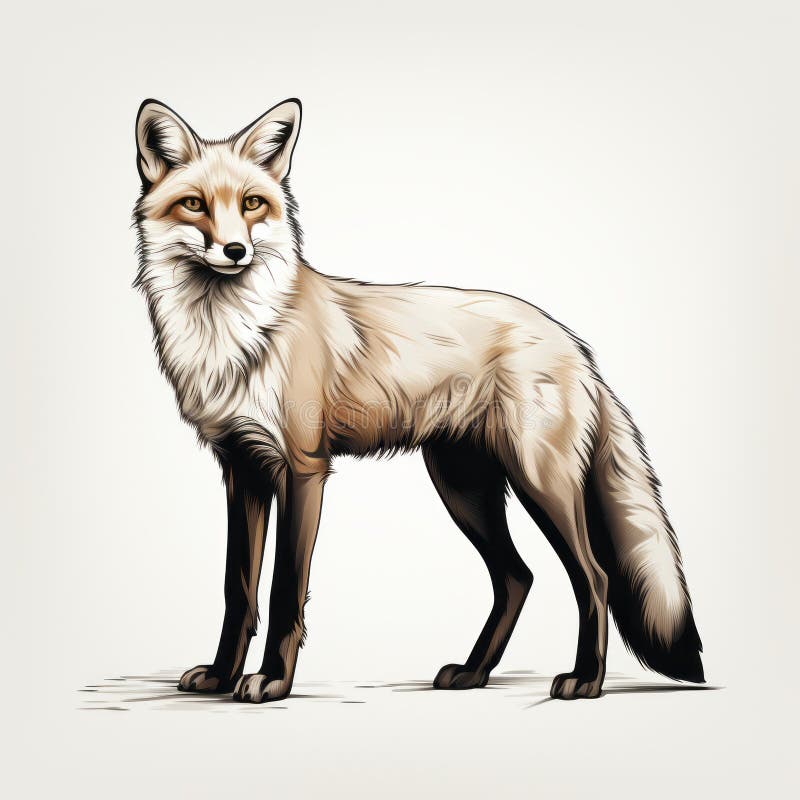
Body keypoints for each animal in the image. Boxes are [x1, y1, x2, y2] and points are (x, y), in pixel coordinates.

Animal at [133, 98, 704, 703]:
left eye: (251, 204)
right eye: (194, 204)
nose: (236, 250)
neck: (237, 340)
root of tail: (573, 342)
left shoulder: (302, 468)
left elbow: (286, 589)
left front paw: (271, 680)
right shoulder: (241, 468)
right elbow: (237, 590)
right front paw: (222, 675)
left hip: (537, 481)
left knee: (593, 576)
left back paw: (586, 679)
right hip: (464, 486)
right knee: (517, 576)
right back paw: (474, 672)